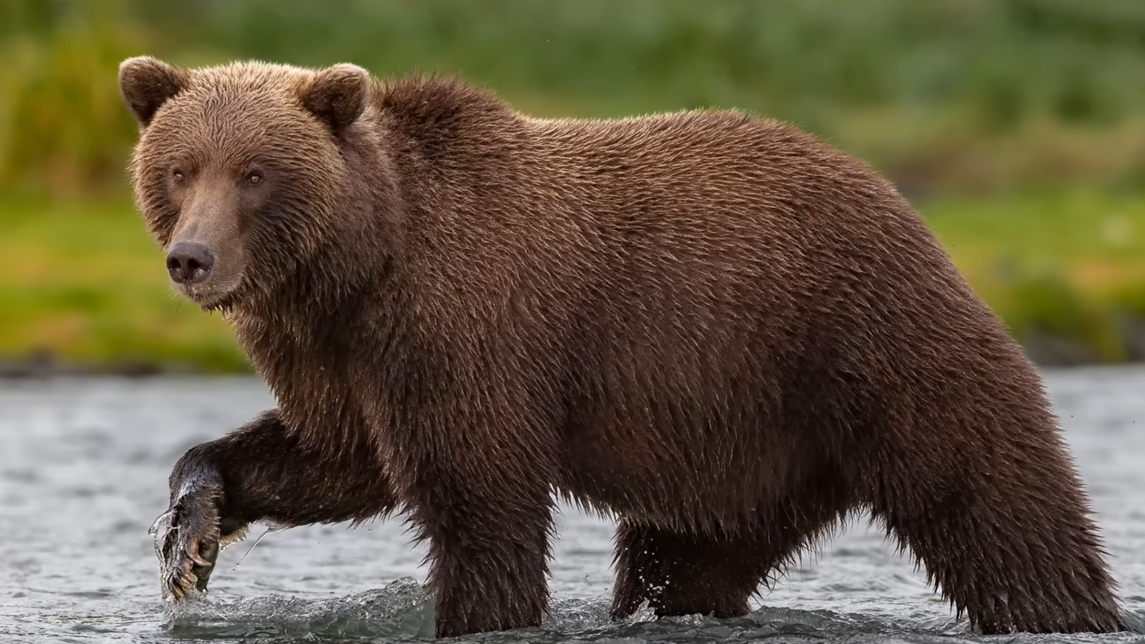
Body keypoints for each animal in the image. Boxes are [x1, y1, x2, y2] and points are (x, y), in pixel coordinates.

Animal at [117, 55, 1125, 638]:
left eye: (254, 171)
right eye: (178, 168)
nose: (192, 258)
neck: (358, 265)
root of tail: (900, 201)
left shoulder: (464, 323)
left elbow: (476, 497)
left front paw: (477, 613)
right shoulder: (333, 355)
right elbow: (335, 458)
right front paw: (188, 537)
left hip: (862, 345)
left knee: (994, 506)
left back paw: (1066, 611)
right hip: (738, 451)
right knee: (679, 562)